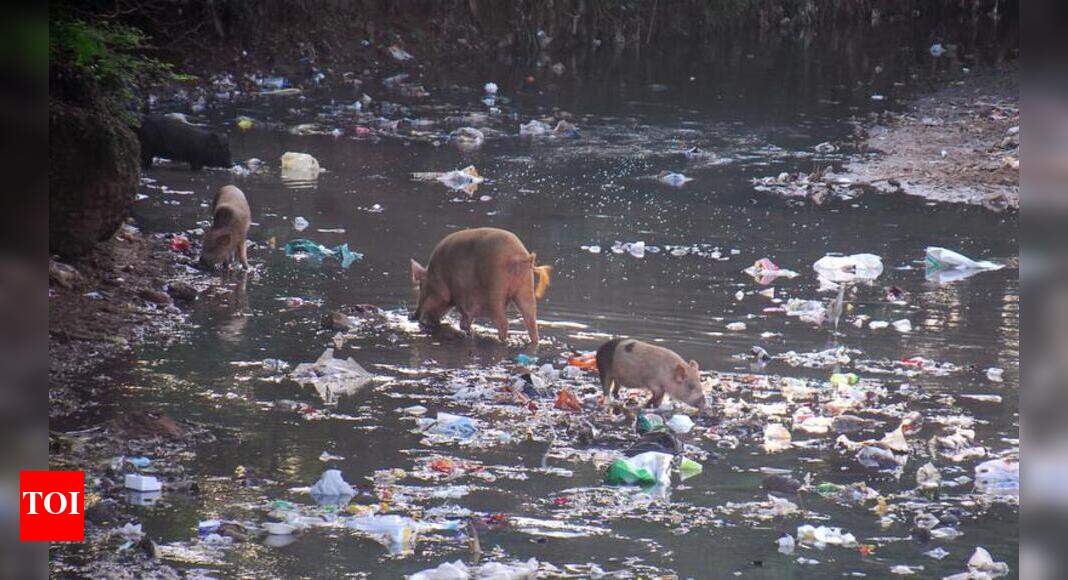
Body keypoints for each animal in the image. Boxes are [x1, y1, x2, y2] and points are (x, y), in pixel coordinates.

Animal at [410, 228, 552, 344]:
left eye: (421, 287)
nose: (413, 316)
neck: (437, 274)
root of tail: (520, 257)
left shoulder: (460, 295)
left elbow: (464, 320)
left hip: (496, 289)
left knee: (503, 323)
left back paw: (501, 341)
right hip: (526, 288)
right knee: (531, 321)